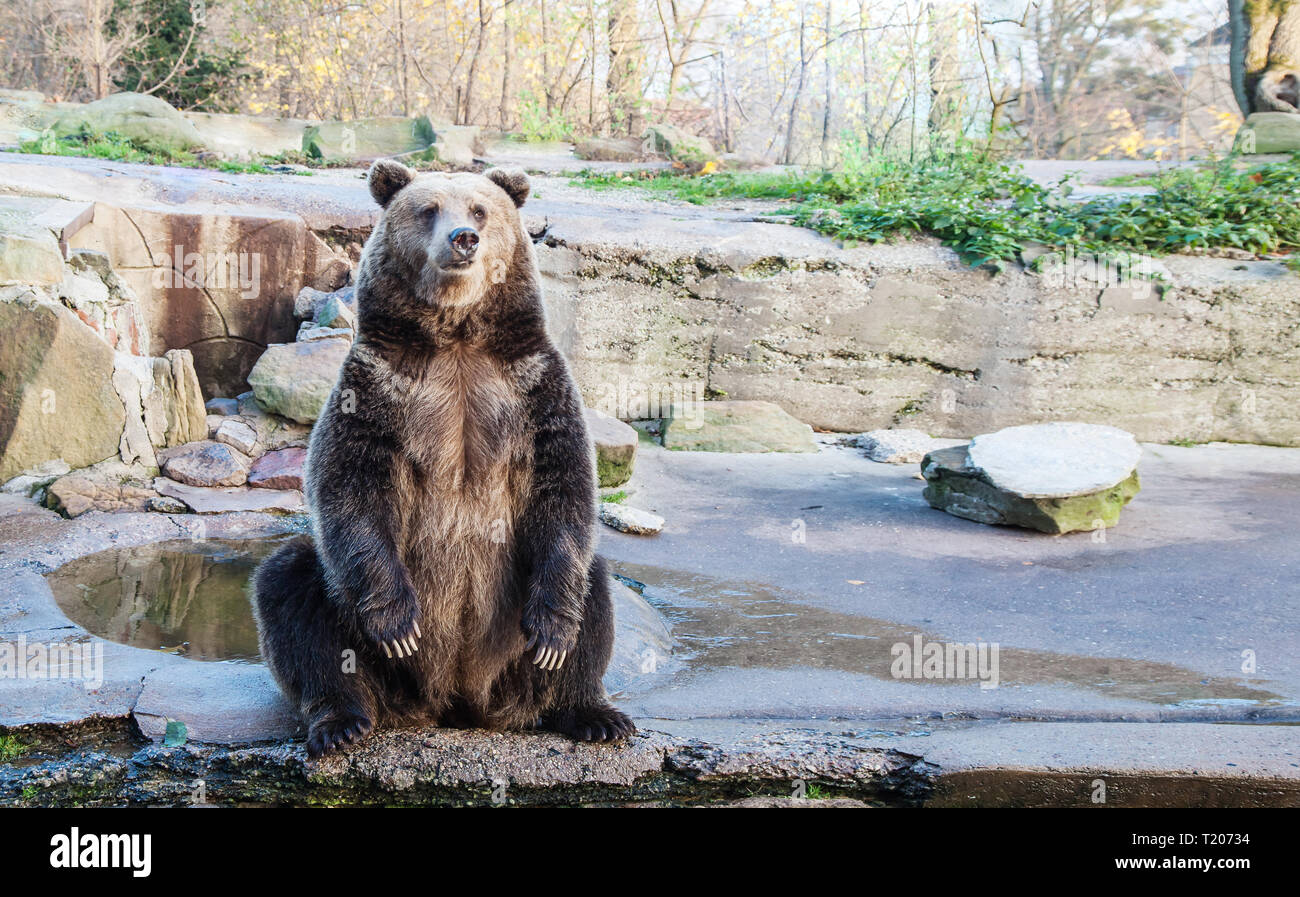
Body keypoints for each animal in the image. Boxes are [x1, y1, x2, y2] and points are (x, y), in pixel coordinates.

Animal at [251, 160, 635, 757]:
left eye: (481, 209)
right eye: (428, 209)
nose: (464, 238)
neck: (455, 335)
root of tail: (456, 701)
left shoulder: (534, 386)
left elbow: (564, 488)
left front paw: (554, 635)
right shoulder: (375, 387)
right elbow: (350, 487)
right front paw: (399, 625)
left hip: (513, 652)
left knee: (592, 589)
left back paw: (593, 713)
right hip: (370, 648)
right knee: (292, 590)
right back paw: (340, 721)